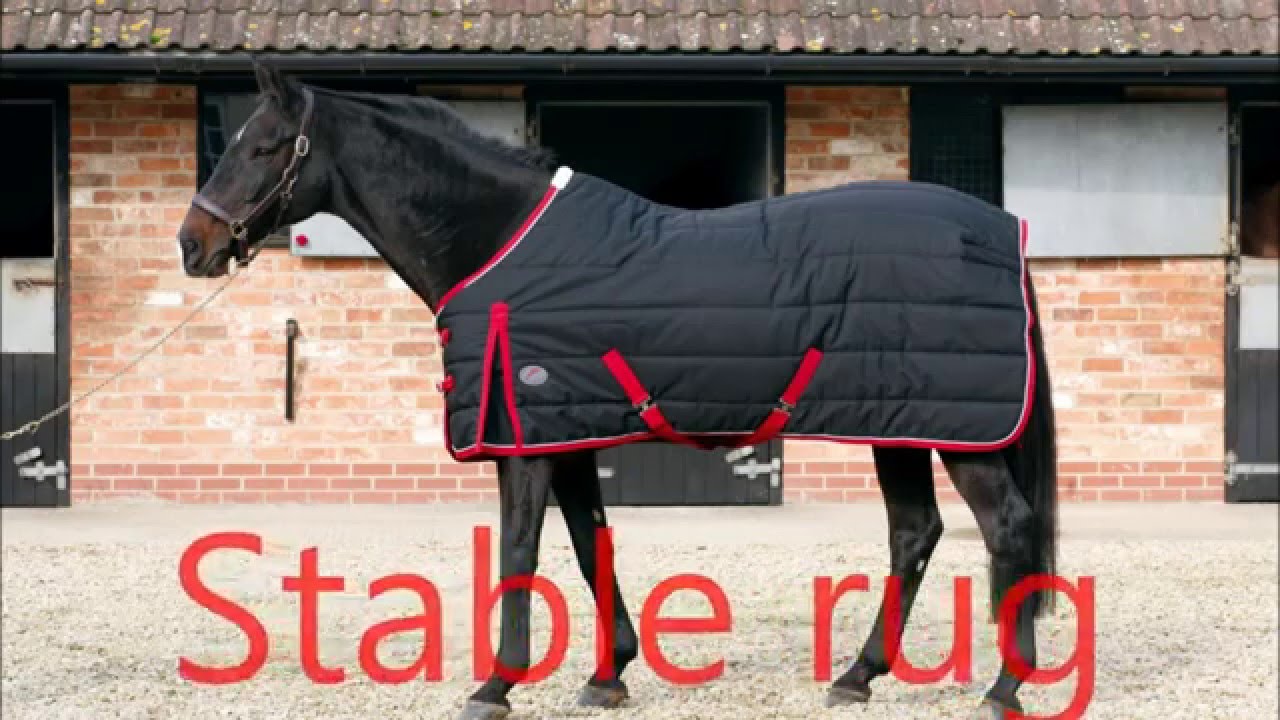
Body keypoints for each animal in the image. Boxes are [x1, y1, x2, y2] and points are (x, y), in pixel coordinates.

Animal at [178, 62, 1059, 720]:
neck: (501, 242)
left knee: (1006, 528)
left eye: (262, 146)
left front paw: (495, 686)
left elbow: (522, 549)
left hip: (954, 432)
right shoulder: (567, 432)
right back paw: (856, 677)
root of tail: (999, 230)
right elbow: (589, 542)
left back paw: (1003, 689)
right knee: (915, 533)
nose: (195, 244)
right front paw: (608, 676)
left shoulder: (524, 437)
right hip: (899, 424)